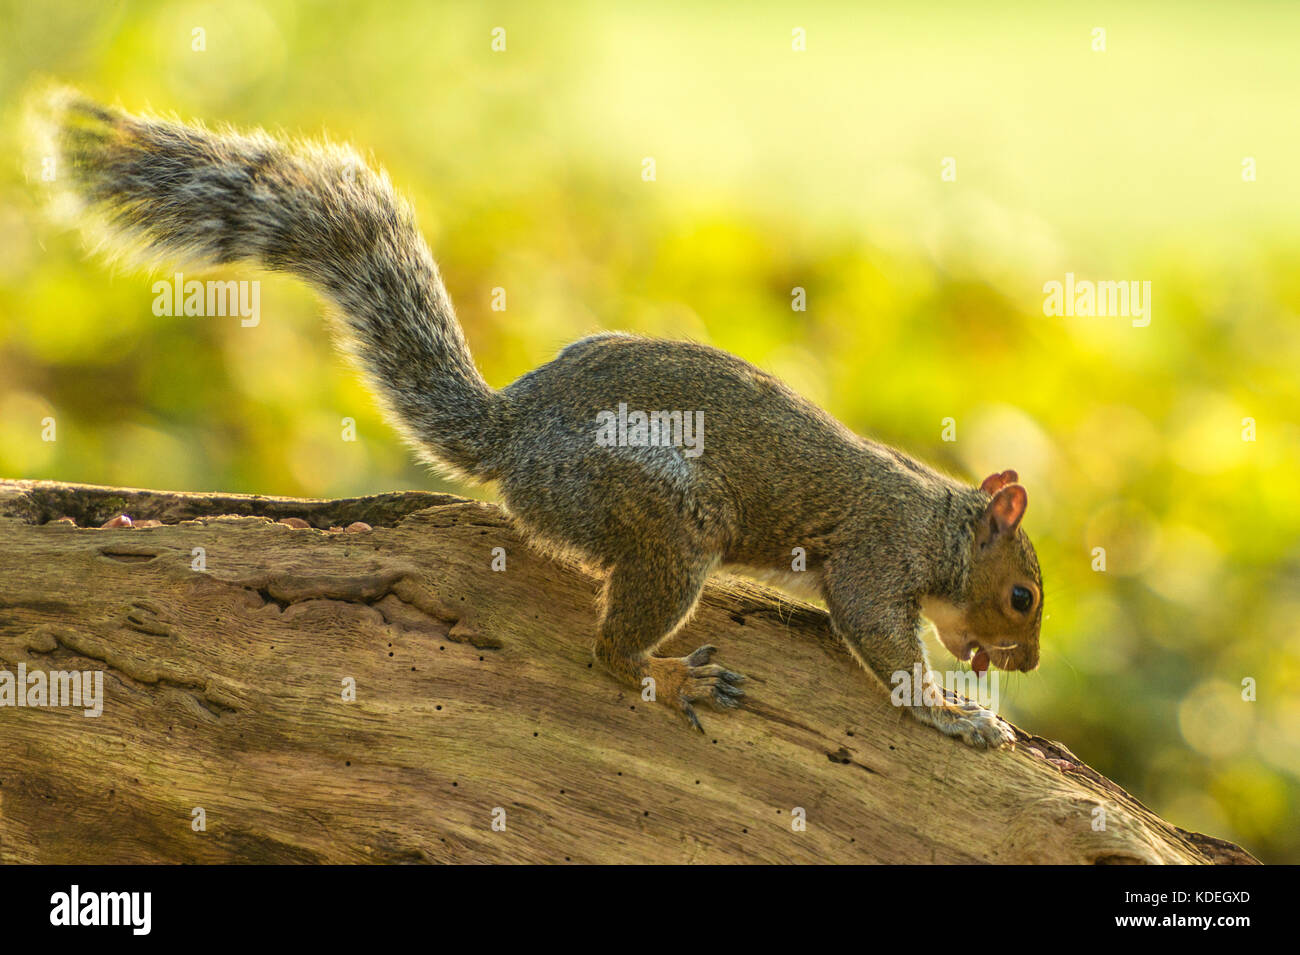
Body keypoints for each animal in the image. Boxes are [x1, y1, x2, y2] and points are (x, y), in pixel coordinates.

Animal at [35, 90, 1042, 748]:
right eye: (1024, 597)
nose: (1027, 665)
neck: (941, 519)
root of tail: (515, 432)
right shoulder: (878, 551)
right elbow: (880, 639)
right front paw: (953, 713)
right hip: (665, 515)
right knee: (608, 649)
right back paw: (669, 672)